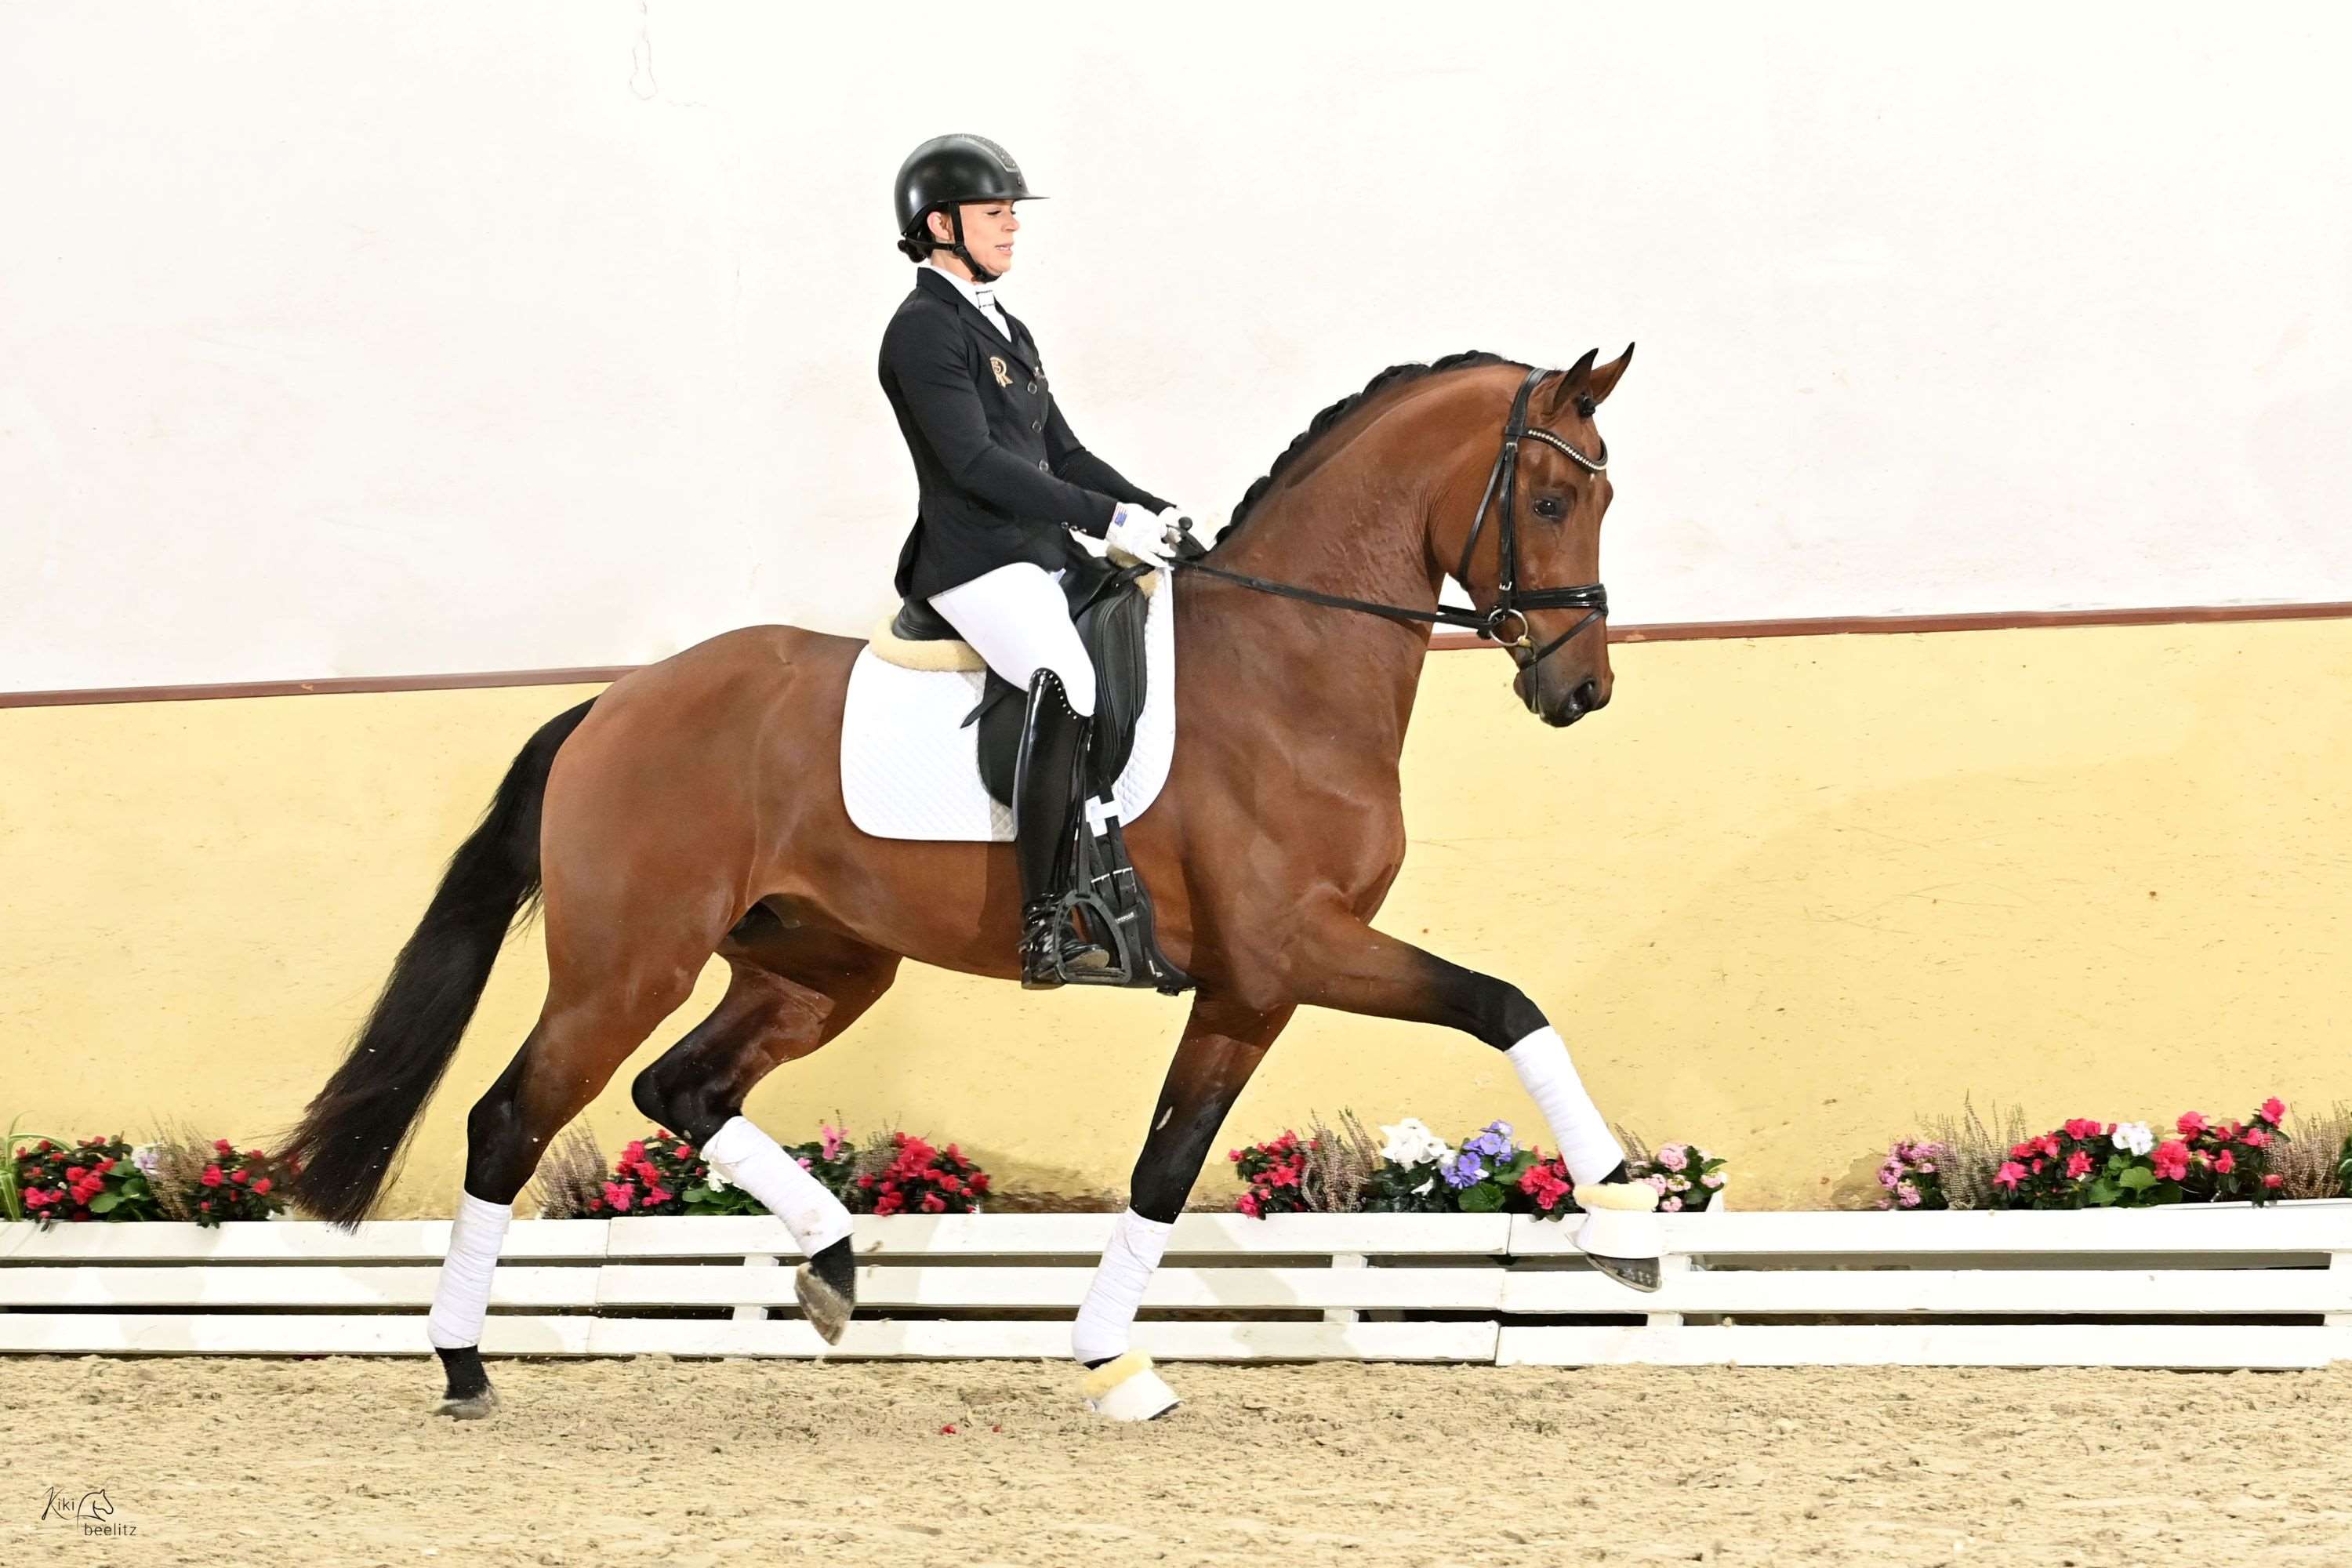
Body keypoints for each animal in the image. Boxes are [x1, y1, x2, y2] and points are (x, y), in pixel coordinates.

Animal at [279, 344, 1641, 1419]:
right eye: (1553, 495)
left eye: (1602, 493)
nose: (1580, 690)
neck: (1290, 664)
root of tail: (612, 704)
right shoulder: (1295, 944)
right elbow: (1507, 1005)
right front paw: (1620, 1223)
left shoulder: (1250, 987)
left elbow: (1164, 1168)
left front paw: (1111, 1363)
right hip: (626, 966)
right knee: (511, 1117)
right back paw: (463, 1364)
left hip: (821, 966)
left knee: (683, 1088)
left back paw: (832, 1265)